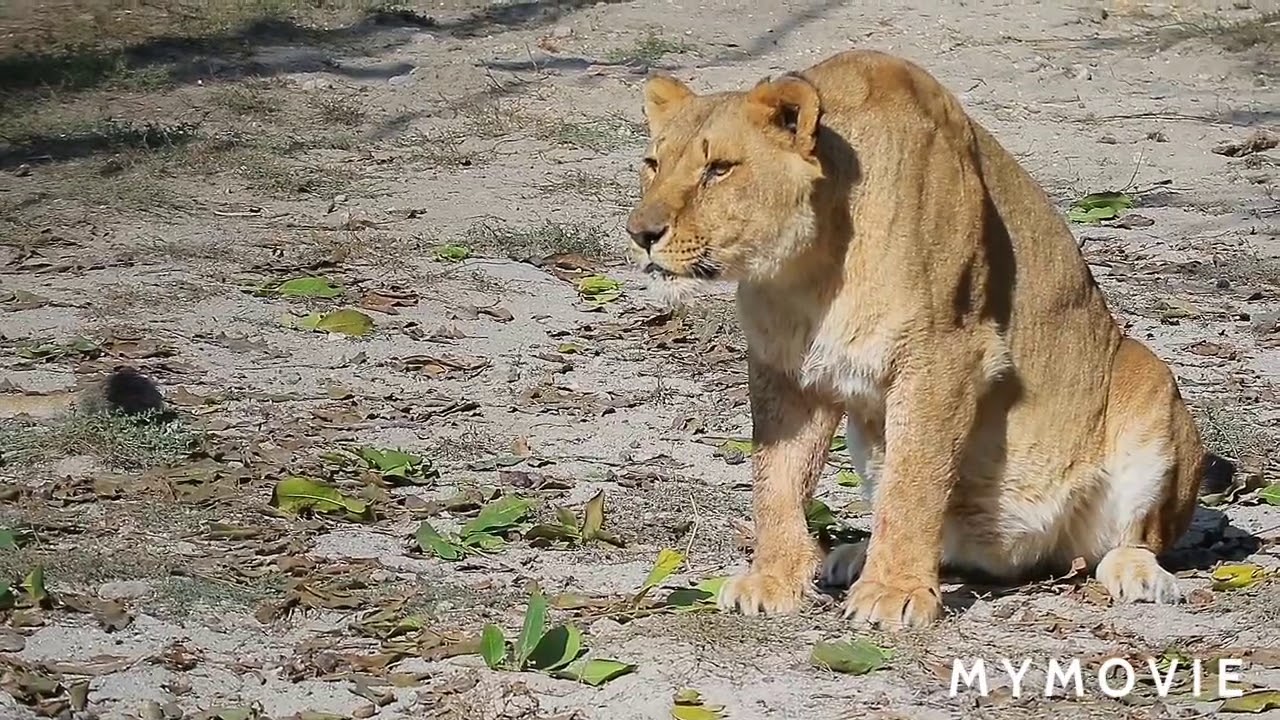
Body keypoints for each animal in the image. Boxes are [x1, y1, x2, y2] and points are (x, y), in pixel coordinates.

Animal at [623, 49, 1219, 630]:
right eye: (653, 165)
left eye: (718, 170)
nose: (640, 234)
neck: (808, 267)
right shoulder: (783, 368)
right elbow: (777, 479)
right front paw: (774, 579)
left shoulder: (944, 353)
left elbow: (914, 481)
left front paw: (894, 593)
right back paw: (853, 555)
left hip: (1149, 378)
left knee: (1136, 539)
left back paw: (1138, 575)